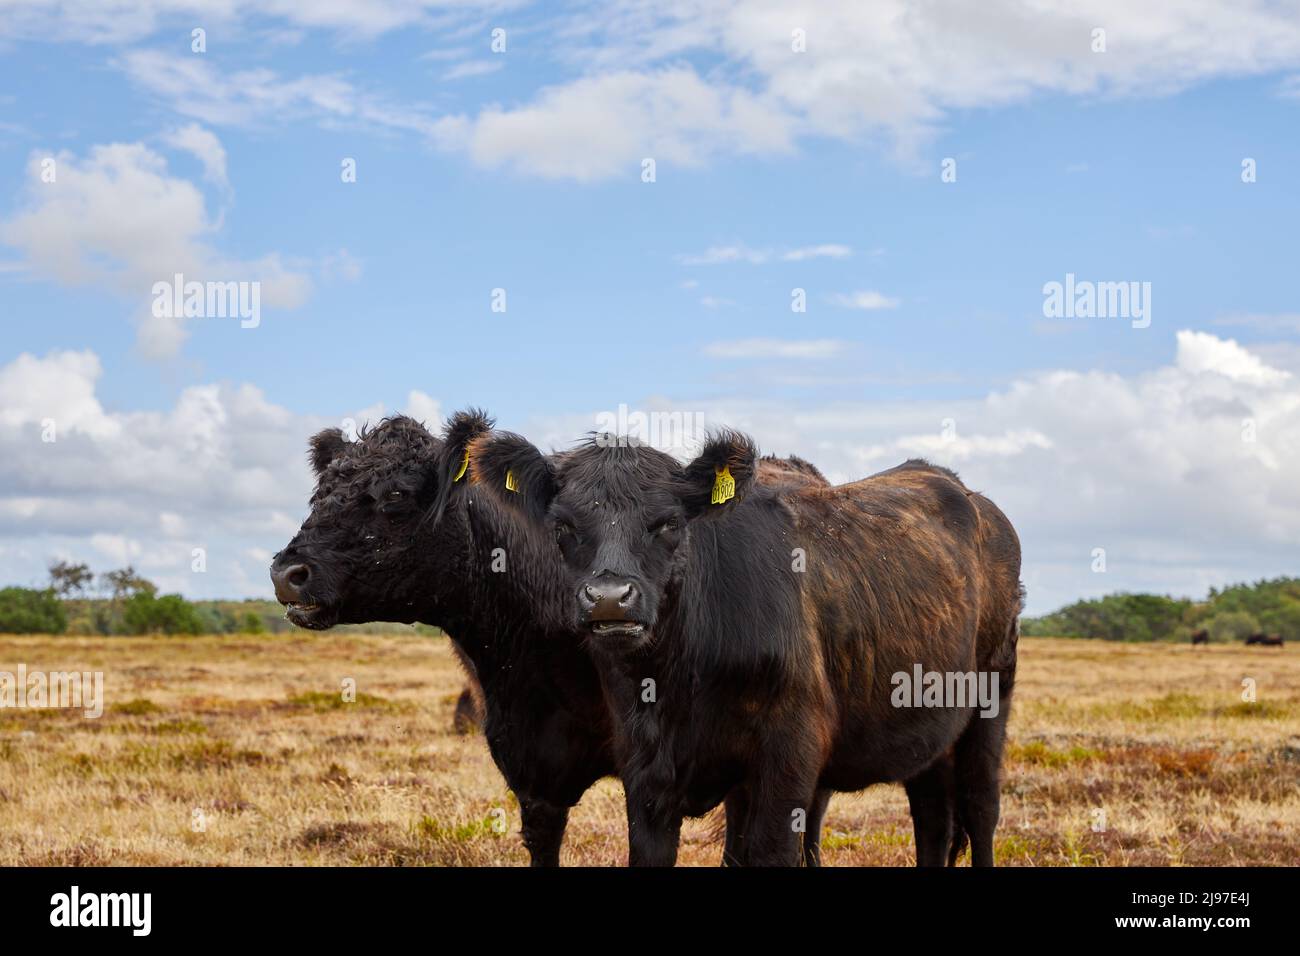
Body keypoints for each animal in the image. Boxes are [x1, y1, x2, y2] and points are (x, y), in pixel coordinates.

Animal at [471, 431, 1022, 866]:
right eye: (563, 527)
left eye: (669, 523)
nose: (610, 598)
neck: (677, 677)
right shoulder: (644, 769)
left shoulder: (789, 757)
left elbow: (770, 854)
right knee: (932, 818)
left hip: (992, 696)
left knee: (981, 808)